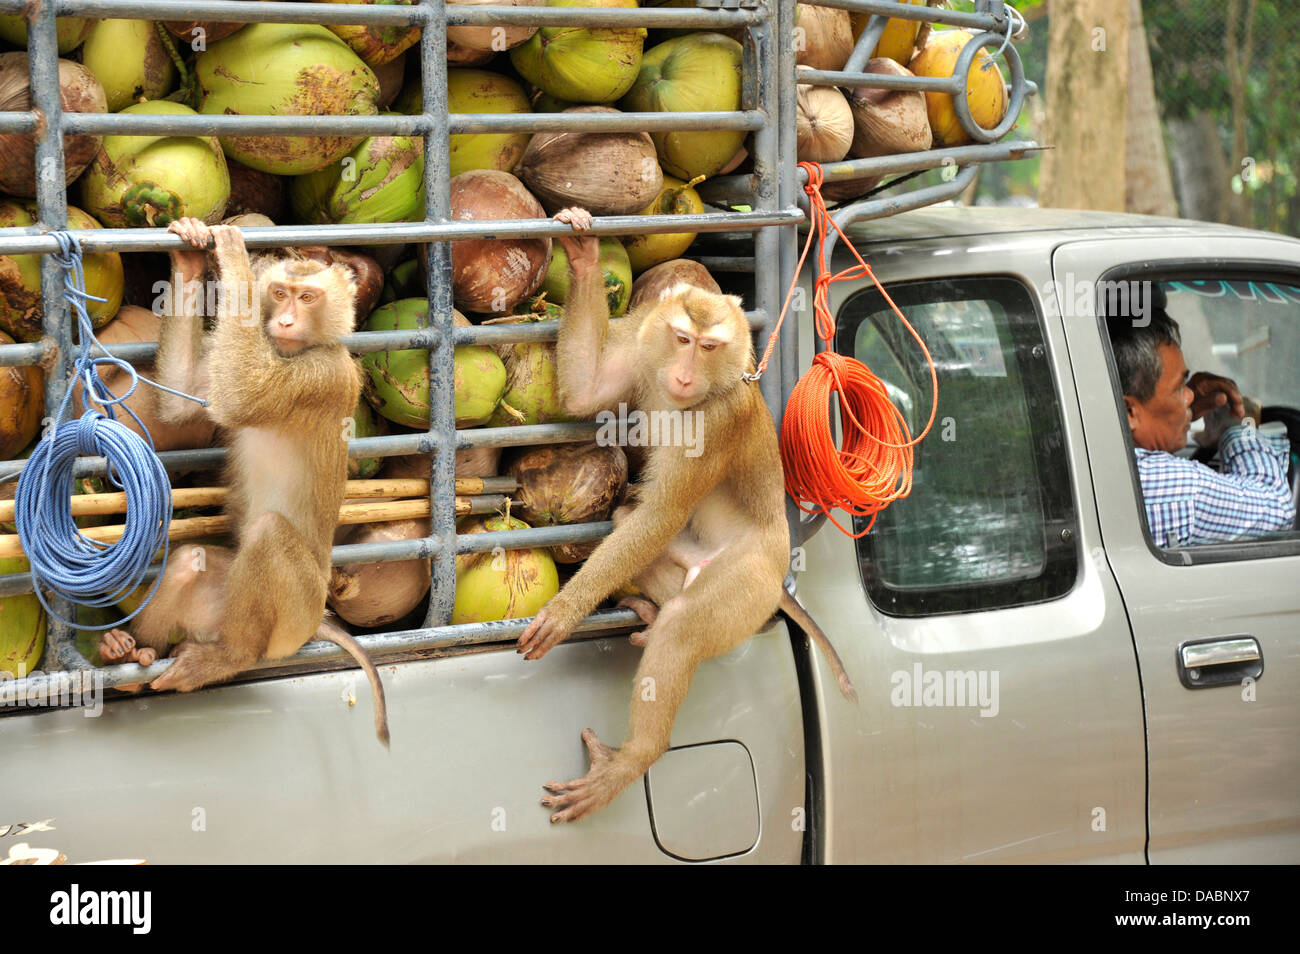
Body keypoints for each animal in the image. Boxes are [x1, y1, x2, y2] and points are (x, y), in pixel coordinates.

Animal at [96, 217, 389, 746]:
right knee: (191, 561)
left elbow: (242, 399)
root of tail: (318, 621)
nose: (285, 321)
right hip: (221, 605)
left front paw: (234, 256)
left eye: (307, 297)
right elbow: (185, 403)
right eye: (281, 292)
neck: (296, 350)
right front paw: (192, 254)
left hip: (292, 617)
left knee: (269, 533)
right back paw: (131, 655)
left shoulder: (323, 374)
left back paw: (230, 658)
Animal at [516, 206, 855, 823]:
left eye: (710, 346)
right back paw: (651, 618)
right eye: (681, 339)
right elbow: (586, 396)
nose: (683, 374)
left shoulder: (716, 424)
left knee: (684, 628)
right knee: (627, 524)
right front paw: (584, 256)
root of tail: (779, 584)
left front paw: (566, 611)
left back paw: (633, 759)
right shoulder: (641, 350)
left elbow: (662, 512)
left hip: (746, 588)